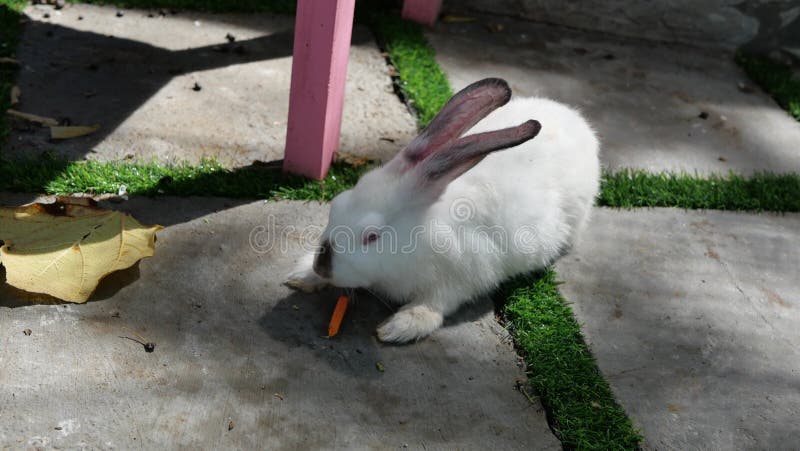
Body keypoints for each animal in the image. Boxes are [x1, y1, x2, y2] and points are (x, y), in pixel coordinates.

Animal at [285, 78, 600, 343]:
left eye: (372, 237)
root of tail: (578, 121)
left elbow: (434, 305)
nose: (321, 266)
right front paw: (302, 276)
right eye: (337, 204)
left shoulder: (461, 279)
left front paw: (398, 328)